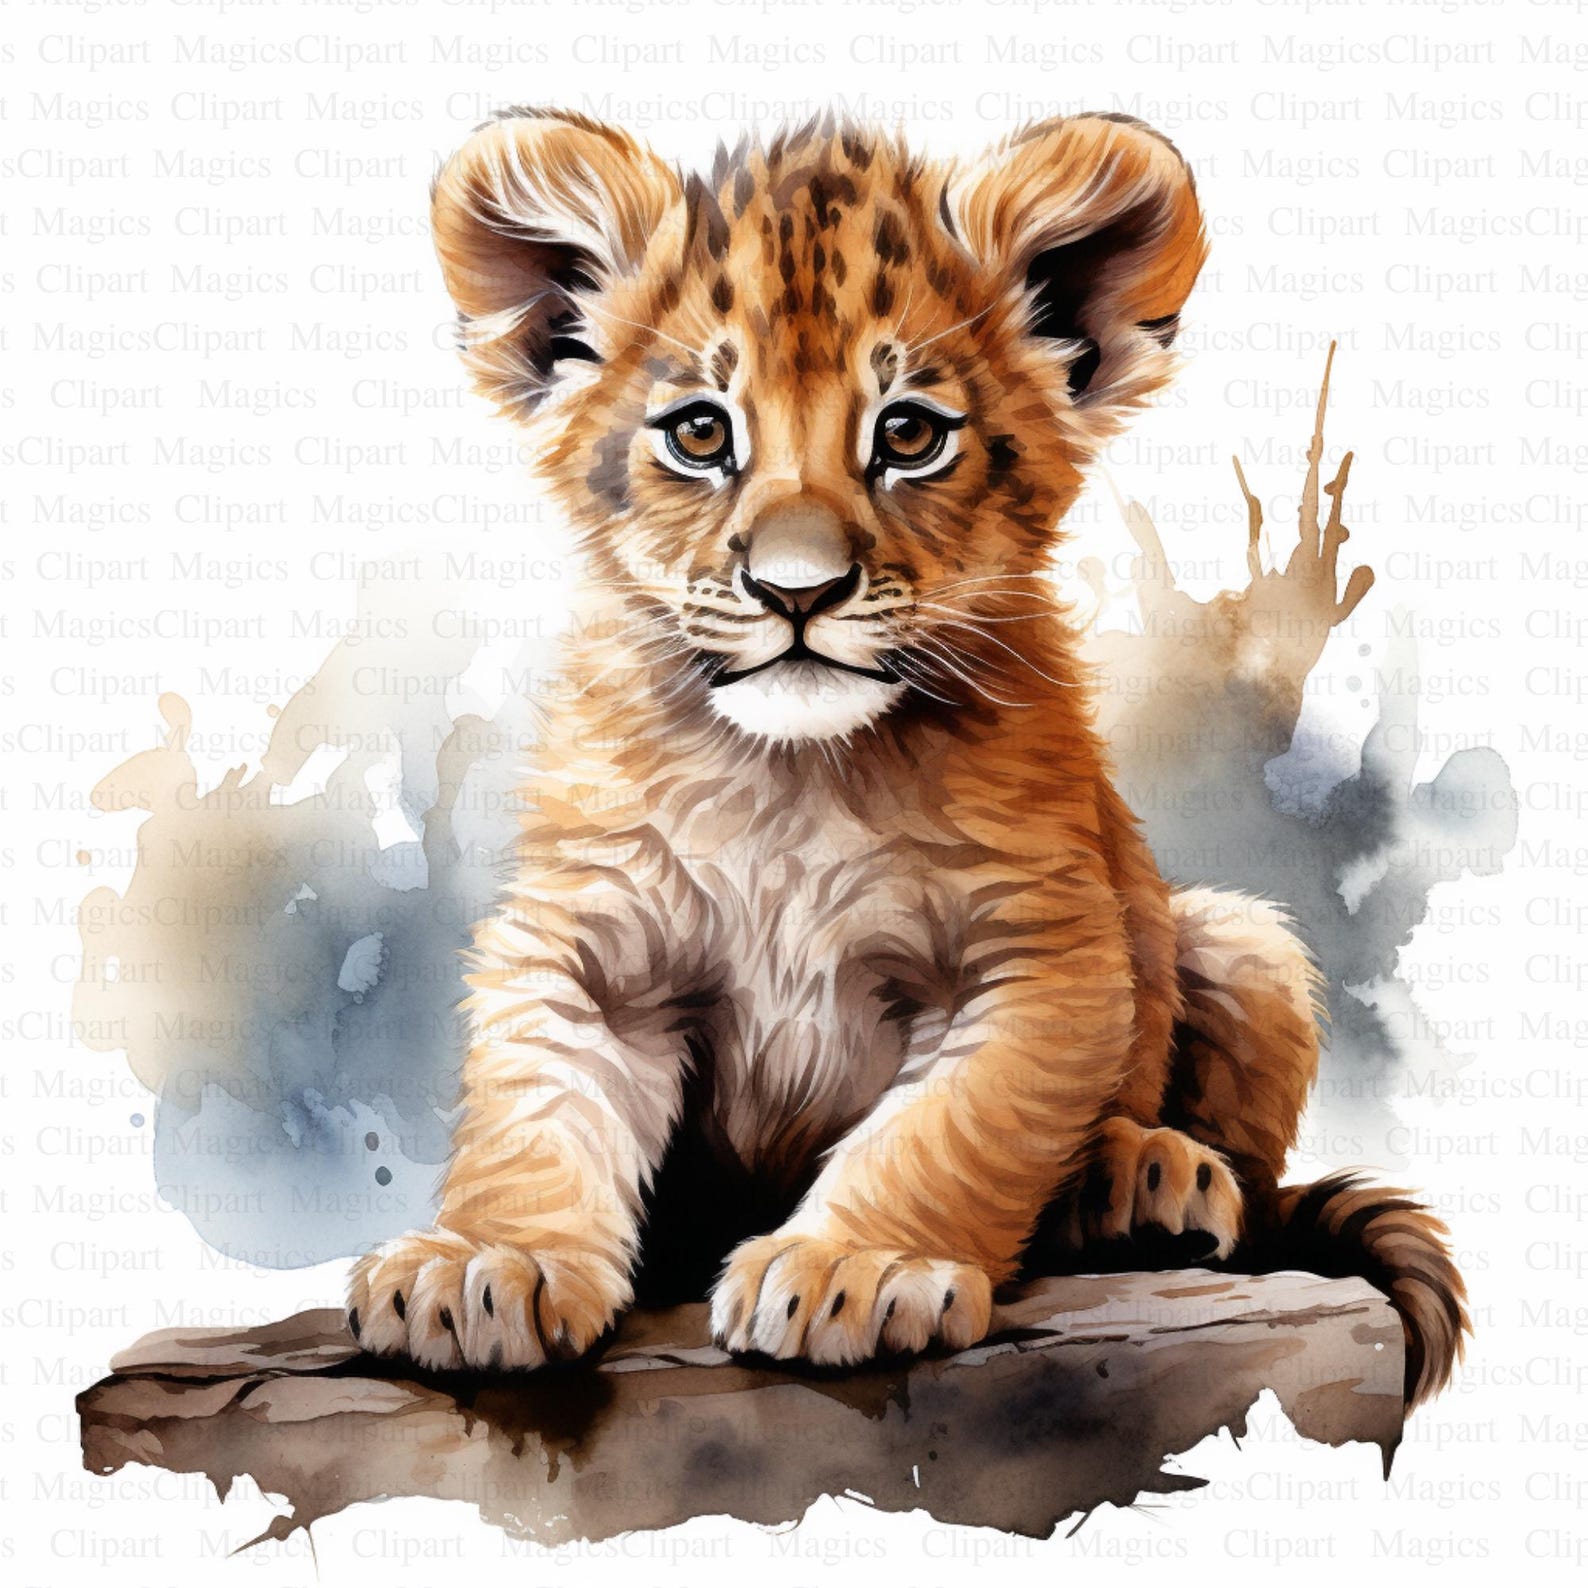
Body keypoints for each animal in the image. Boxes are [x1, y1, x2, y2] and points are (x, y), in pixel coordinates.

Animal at [346, 110, 1466, 1405]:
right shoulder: (587, 950)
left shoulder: (1037, 954)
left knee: (1236, 1149)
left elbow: (944, 1129)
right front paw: (485, 1263)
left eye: (909, 435)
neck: (789, 780)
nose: (797, 591)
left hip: (1244, 942)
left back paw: (1143, 1180)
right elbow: (534, 1111)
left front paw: (854, 1266)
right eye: (700, 432)